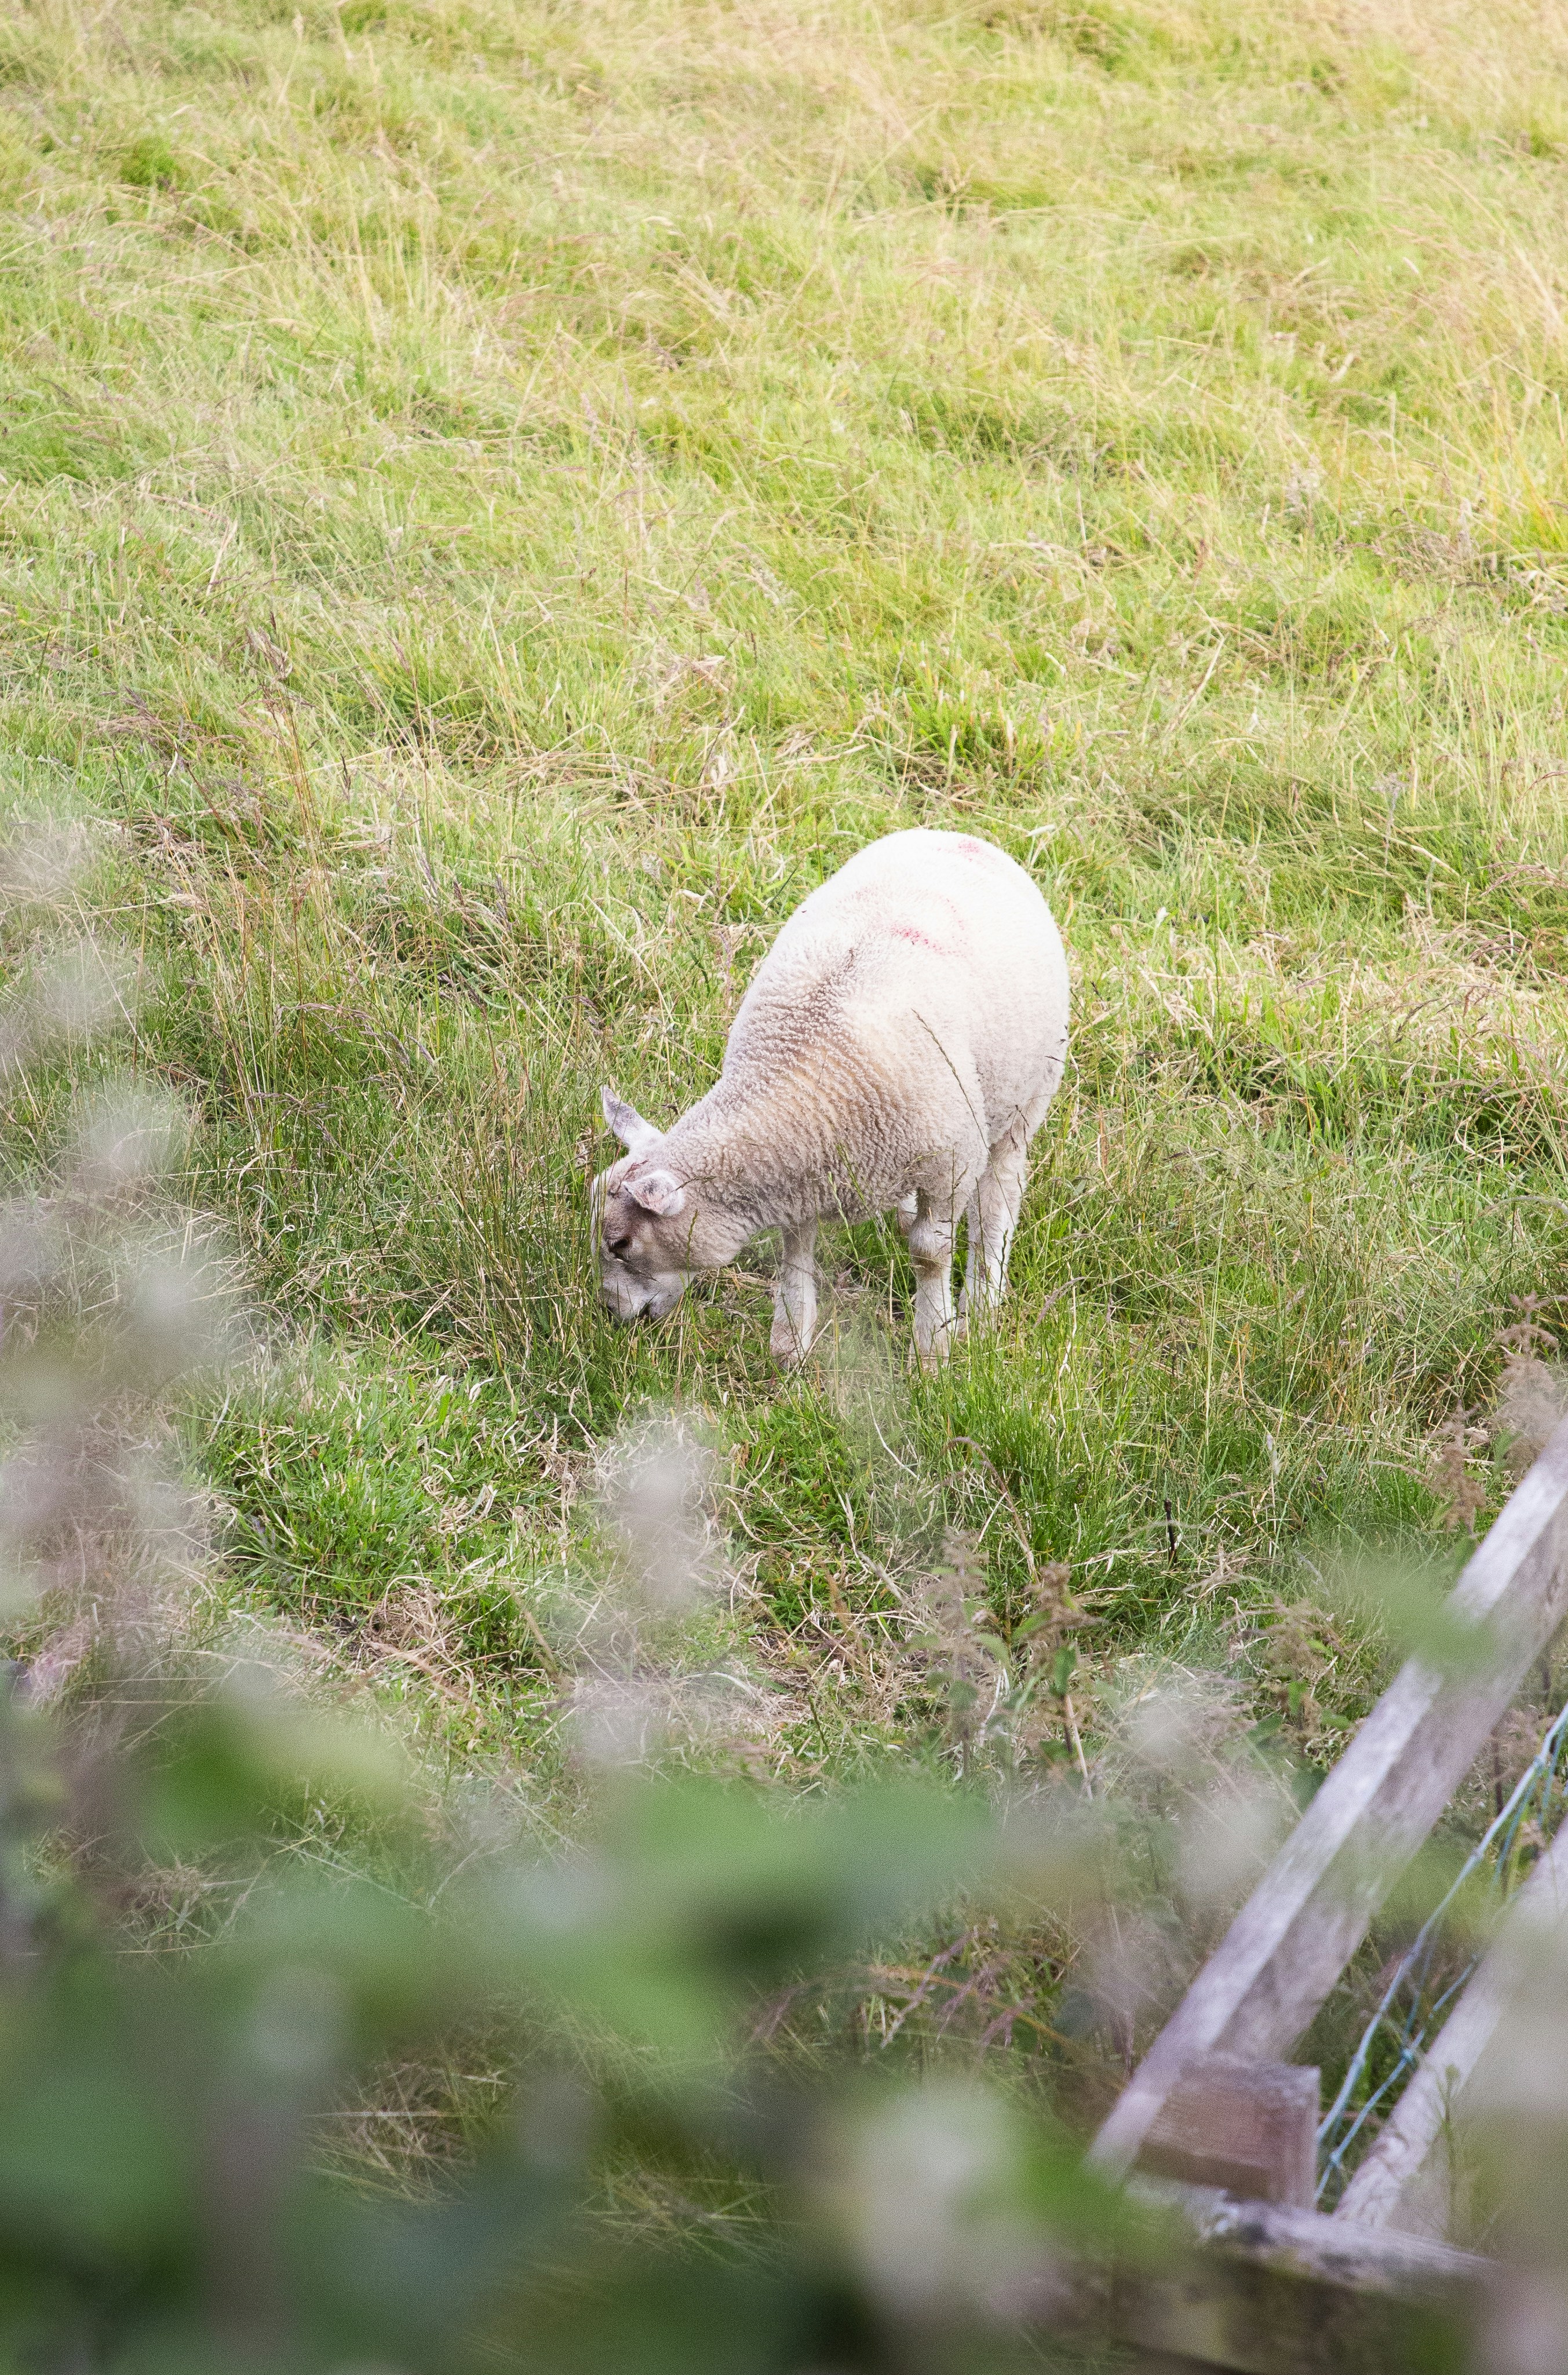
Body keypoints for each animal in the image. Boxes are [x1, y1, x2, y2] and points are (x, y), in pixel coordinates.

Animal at [592, 827, 1070, 1369]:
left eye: (621, 1243)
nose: (610, 1312)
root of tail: (957, 835)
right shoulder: (805, 1164)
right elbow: (796, 1247)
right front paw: (790, 1344)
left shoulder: (951, 1161)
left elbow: (930, 1253)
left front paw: (933, 1350)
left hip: (1025, 1099)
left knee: (997, 1202)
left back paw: (983, 1307)